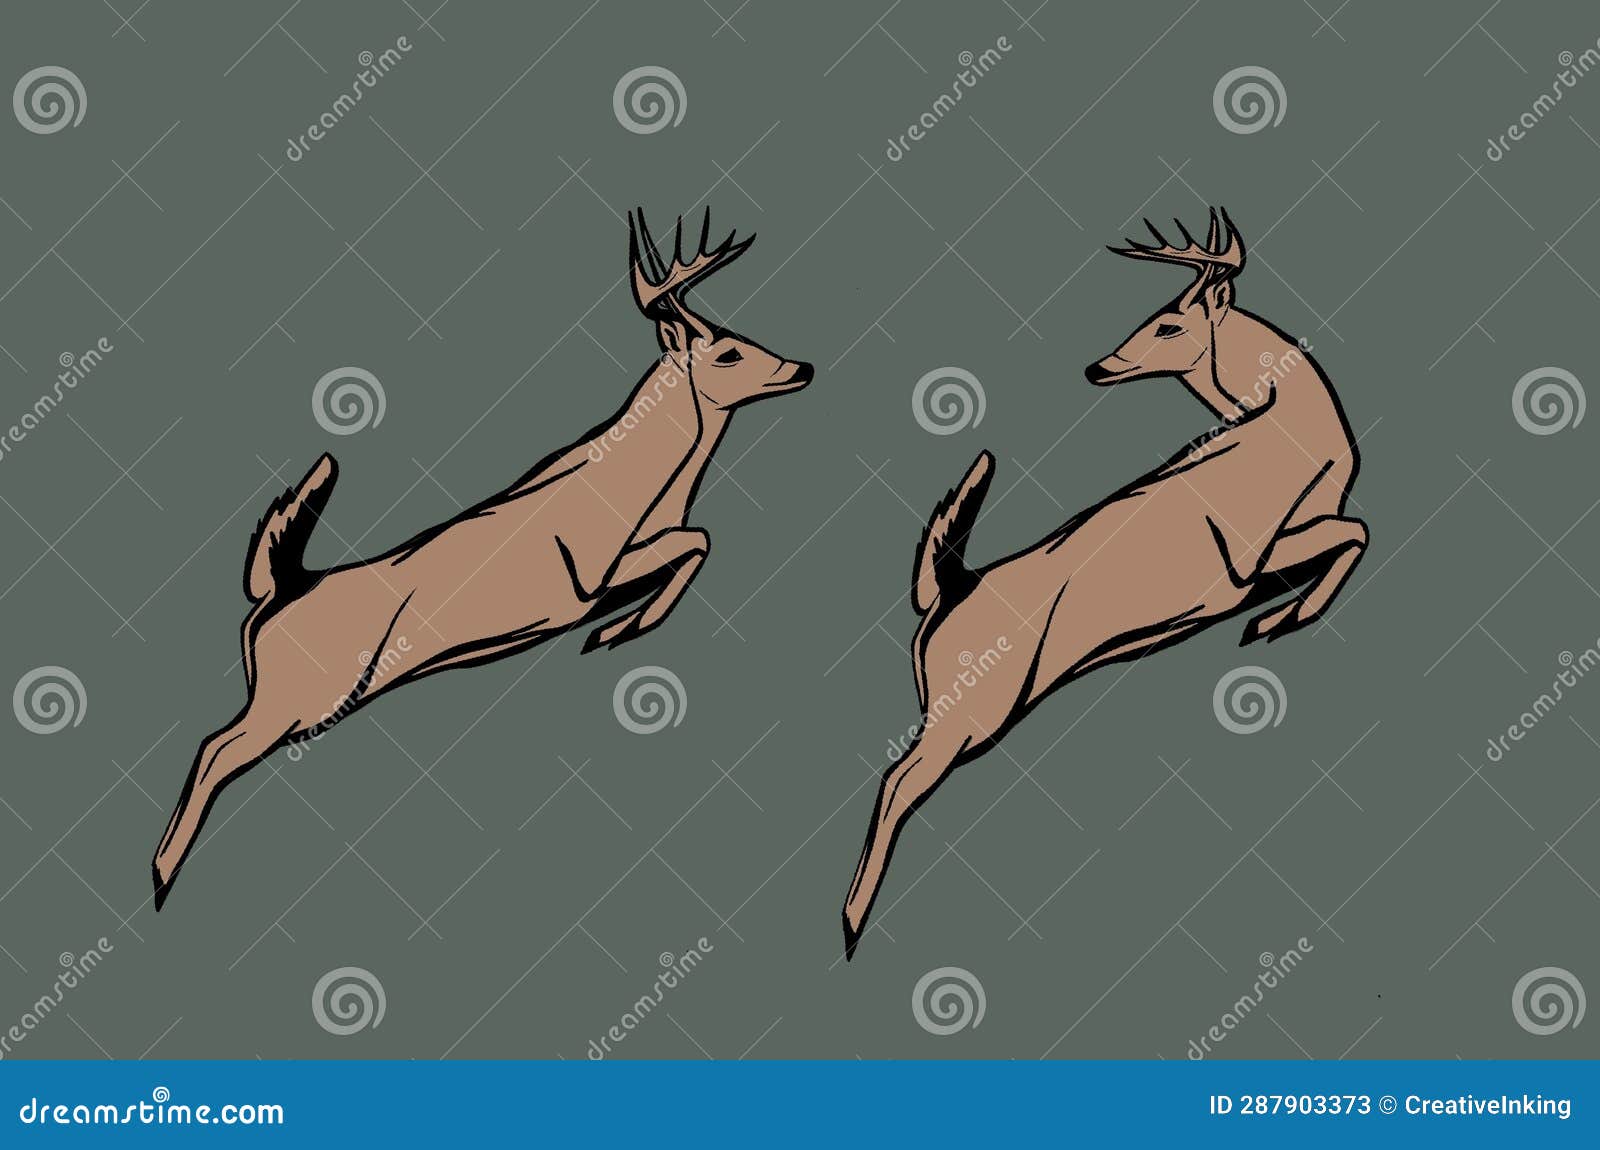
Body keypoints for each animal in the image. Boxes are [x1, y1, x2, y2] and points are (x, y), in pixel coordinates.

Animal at [152, 209, 813, 909]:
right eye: (728, 351)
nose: (800, 366)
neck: (637, 490)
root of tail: (277, 591)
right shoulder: (585, 579)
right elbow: (699, 541)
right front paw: (619, 630)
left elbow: (696, 541)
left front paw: (618, 629)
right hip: (301, 698)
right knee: (215, 747)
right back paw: (161, 877)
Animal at [841, 209, 1366, 957]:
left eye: (1168, 324)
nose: (1099, 366)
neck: (1297, 442)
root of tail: (949, 589)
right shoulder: (1246, 561)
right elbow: (1357, 532)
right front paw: (1278, 621)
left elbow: (1352, 533)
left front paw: (1277, 618)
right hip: (973, 709)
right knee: (897, 780)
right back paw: (851, 925)